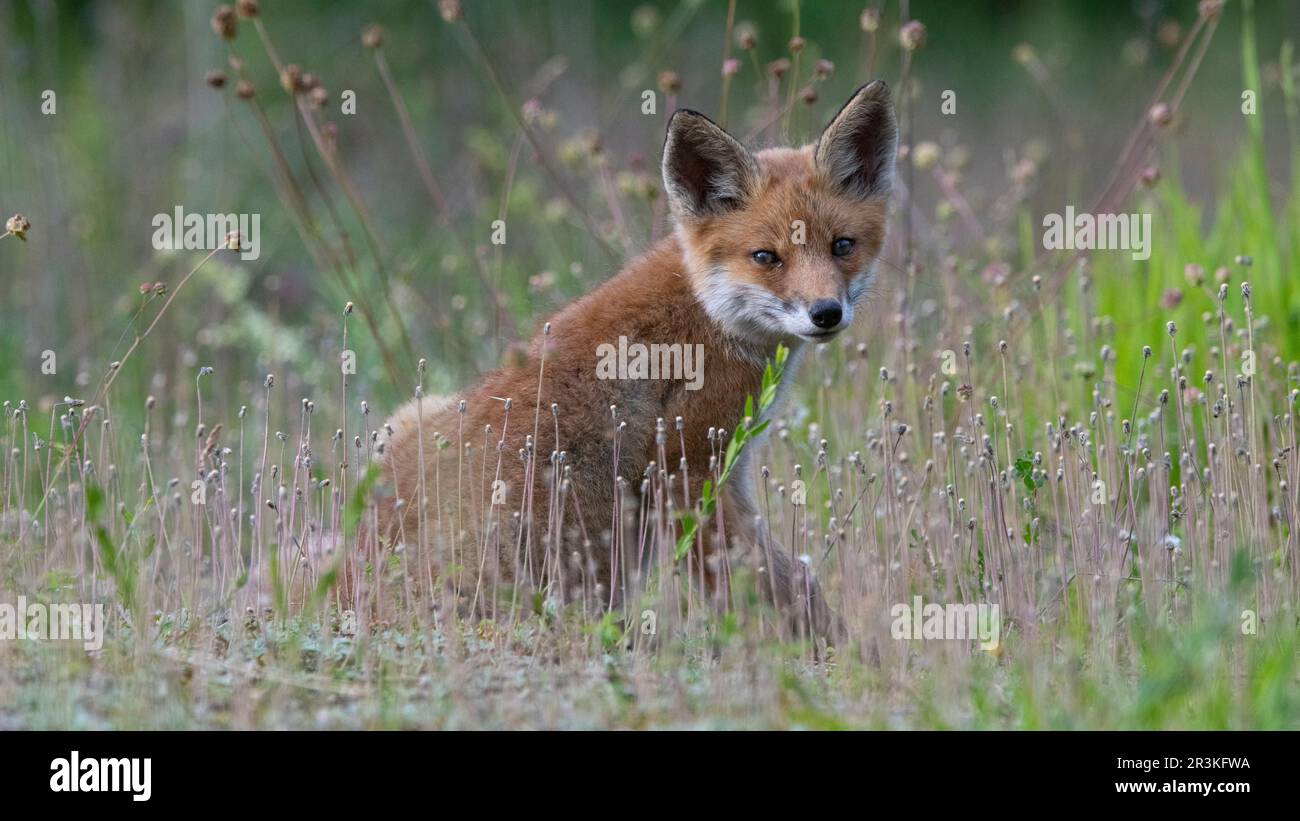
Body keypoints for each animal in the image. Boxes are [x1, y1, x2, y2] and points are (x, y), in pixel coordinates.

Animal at [373, 81, 897, 641]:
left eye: (842, 246)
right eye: (766, 257)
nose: (826, 313)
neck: (705, 309)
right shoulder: (688, 475)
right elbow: (777, 585)